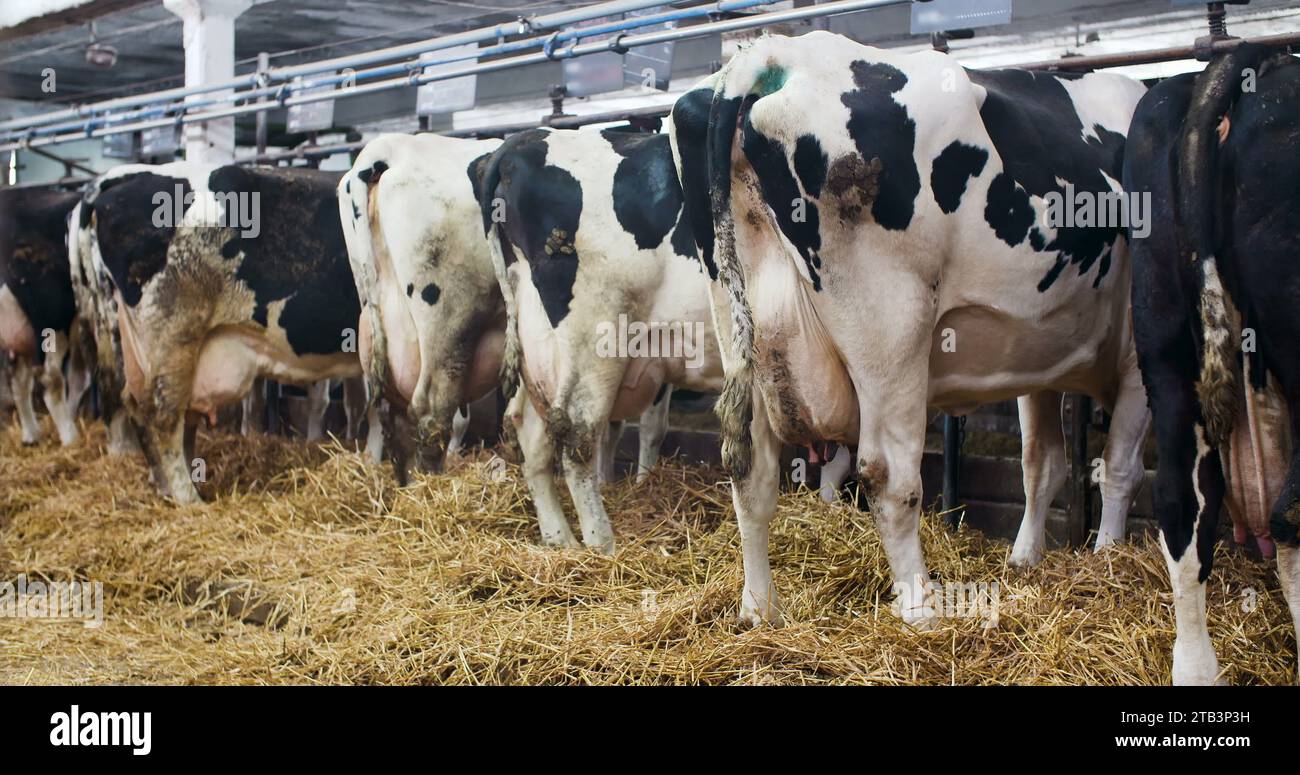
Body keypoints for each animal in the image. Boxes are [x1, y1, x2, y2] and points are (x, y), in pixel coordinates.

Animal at [479, 127, 722, 553]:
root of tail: (522, 141)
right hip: (594, 337)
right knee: (577, 436)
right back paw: (601, 543)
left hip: (540, 347)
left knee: (531, 429)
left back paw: (560, 539)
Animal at [669, 31, 1151, 626]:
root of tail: (774, 53)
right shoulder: (1144, 353)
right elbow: (1120, 468)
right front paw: (1109, 557)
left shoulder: (1038, 352)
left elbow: (1041, 465)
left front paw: (1026, 559)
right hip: (891, 331)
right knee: (888, 475)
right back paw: (921, 605)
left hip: (745, 332)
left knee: (749, 473)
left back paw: (761, 611)